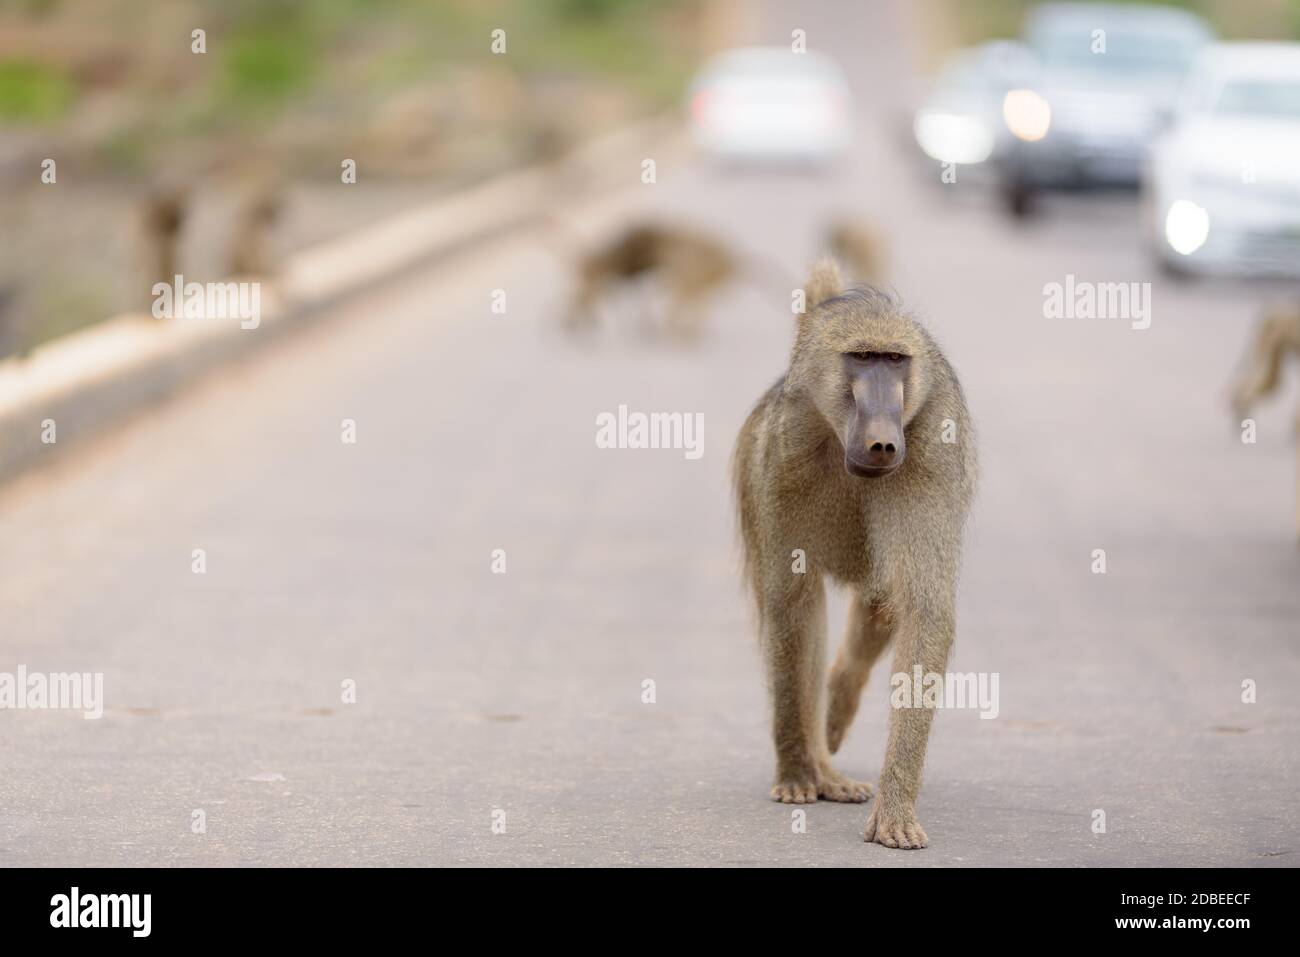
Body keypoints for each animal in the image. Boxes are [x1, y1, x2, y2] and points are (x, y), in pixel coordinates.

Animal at [732, 258, 976, 848]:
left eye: (895, 360)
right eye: (862, 358)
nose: (883, 441)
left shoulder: (936, 453)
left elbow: (924, 611)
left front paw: (895, 808)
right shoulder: (781, 458)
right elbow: (791, 606)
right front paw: (797, 773)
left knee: (880, 603)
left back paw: (838, 708)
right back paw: (821, 765)